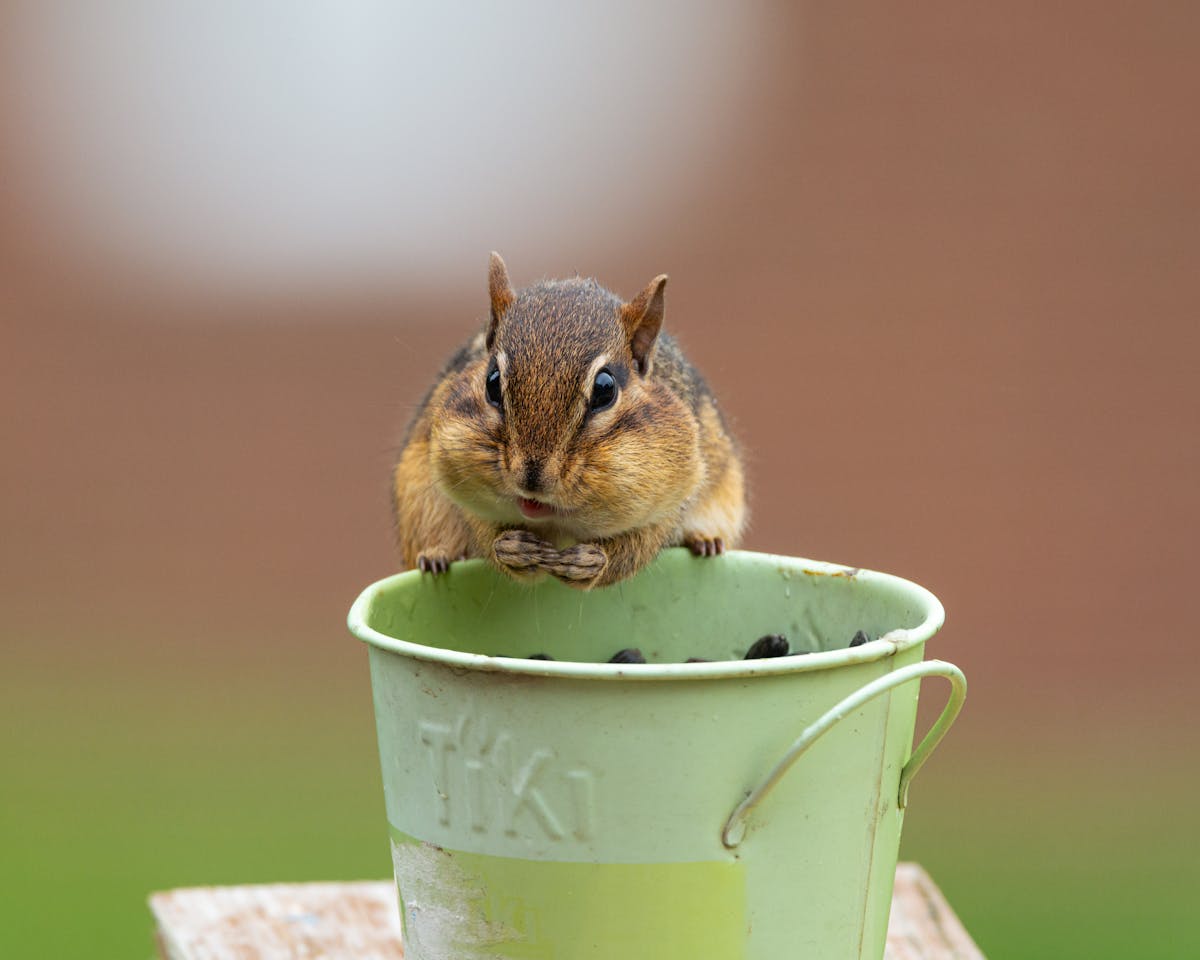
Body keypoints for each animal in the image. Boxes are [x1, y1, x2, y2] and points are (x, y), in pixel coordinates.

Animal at [391, 253, 746, 589]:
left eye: (605, 389)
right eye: (492, 382)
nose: (531, 480)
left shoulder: (675, 499)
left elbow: (639, 546)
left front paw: (591, 561)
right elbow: (483, 531)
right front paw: (512, 548)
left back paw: (706, 541)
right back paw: (437, 556)